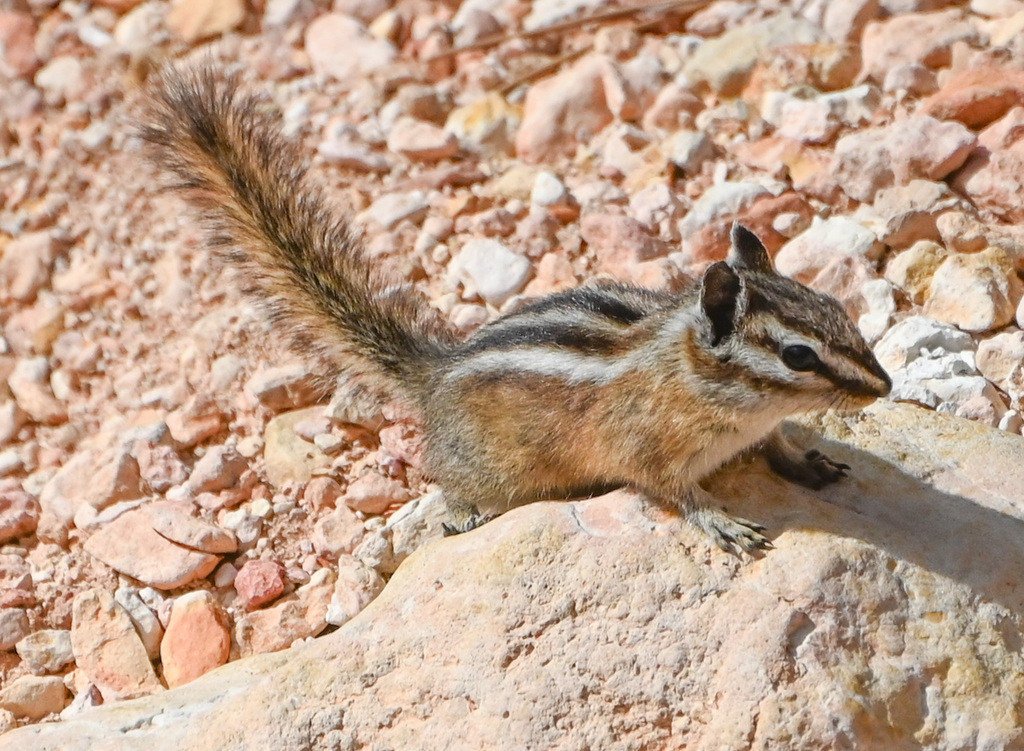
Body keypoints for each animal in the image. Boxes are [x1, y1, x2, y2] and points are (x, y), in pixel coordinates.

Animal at [138, 65, 892, 556]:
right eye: (798, 354)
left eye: (837, 307)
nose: (884, 386)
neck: (703, 382)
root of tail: (437, 374)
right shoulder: (649, 452)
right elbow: (678, 496)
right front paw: (723, 523)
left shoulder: (758, 429)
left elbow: (780, 446)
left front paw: (810, 463)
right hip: (487, 469)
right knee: (442, 481)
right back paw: (460, 516)